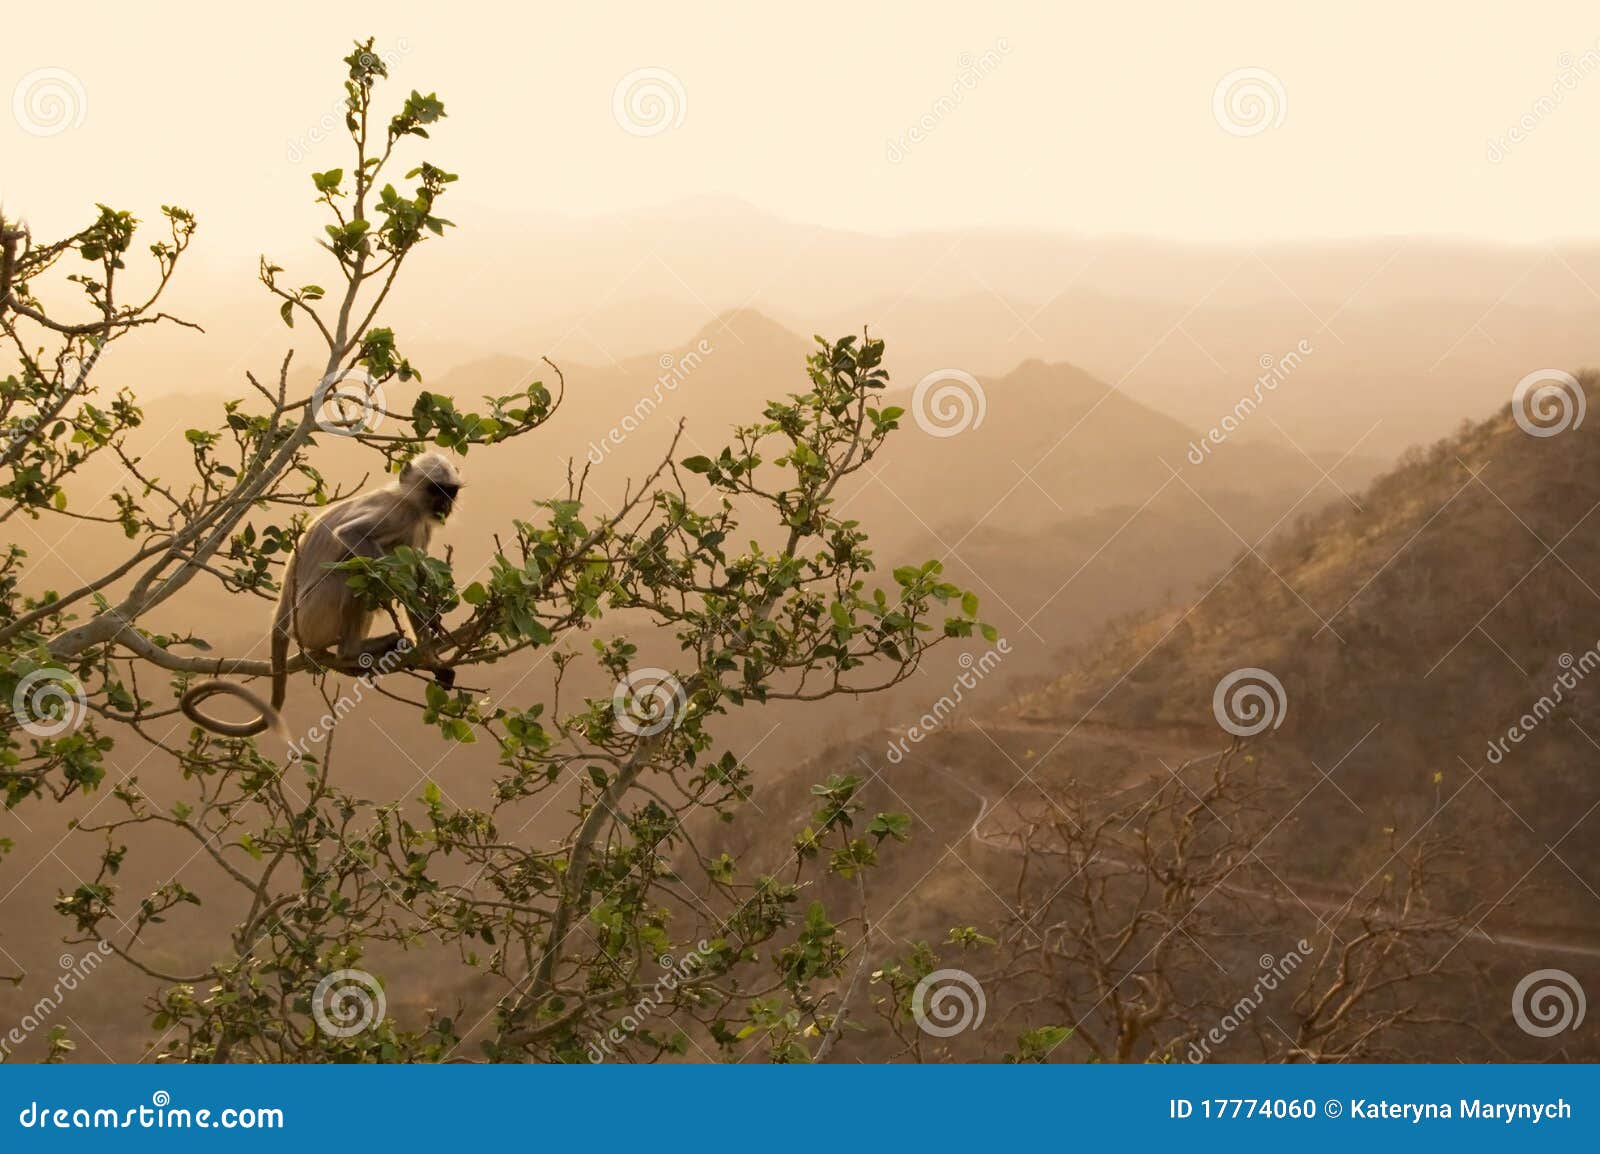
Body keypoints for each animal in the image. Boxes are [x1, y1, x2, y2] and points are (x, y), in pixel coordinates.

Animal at [180, 452, 464, 738]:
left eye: (449, 492)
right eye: (435, 490)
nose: (445, 505)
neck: (409, 500)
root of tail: (284, 614)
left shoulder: (422, 526)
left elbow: (416, 573)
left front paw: (433, 658)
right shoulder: (399, 515)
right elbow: (353, 536)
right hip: (312, 617)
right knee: (351, 572)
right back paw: (351, 652)